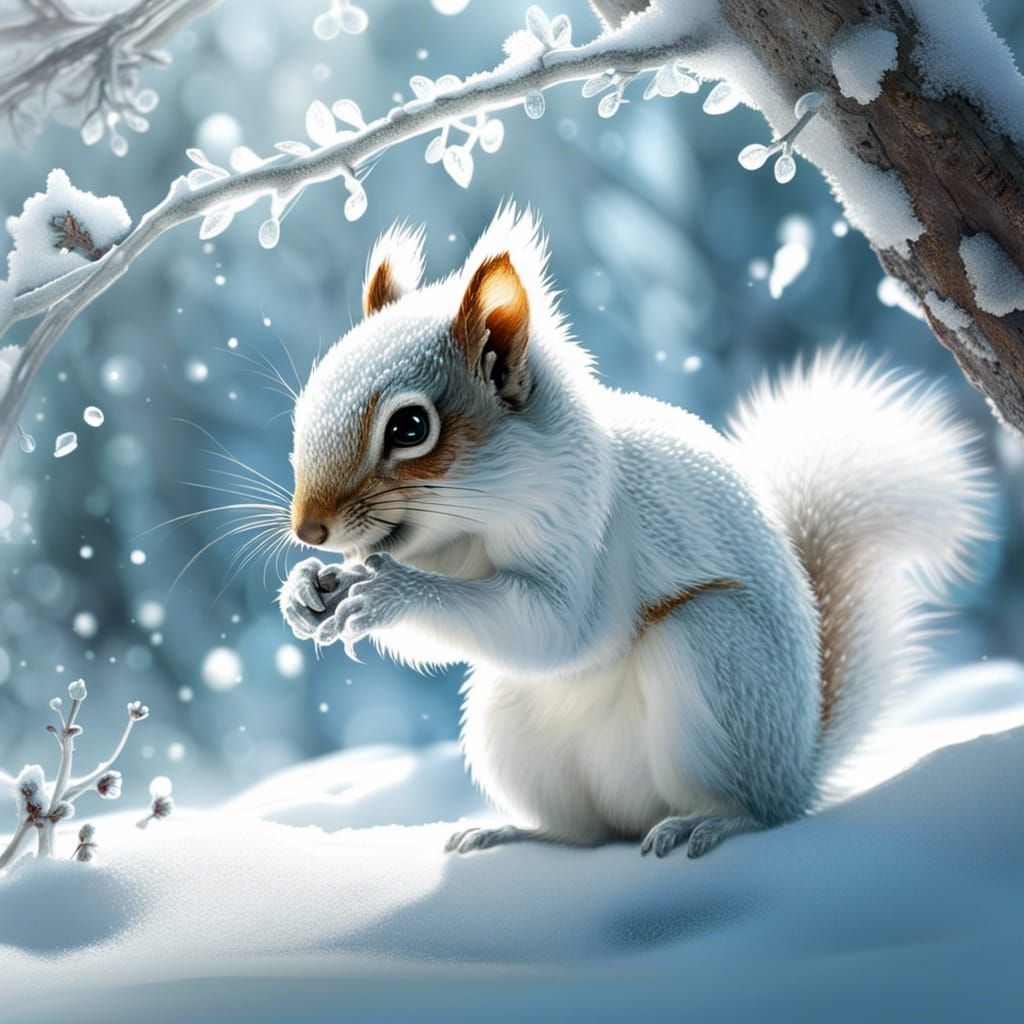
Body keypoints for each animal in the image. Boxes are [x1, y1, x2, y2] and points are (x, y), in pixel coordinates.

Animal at [279, 205, 990, 859]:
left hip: (716, 664)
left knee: (754, 811)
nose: (309, 529)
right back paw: (513, 831)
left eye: (410, 428)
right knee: (583, 831)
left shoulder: (587, 529)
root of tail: (797, 768)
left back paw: (708, 823)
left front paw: (390, 593)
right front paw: (308, 590)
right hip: (506, 722)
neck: (474, 523)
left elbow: (557, 626)